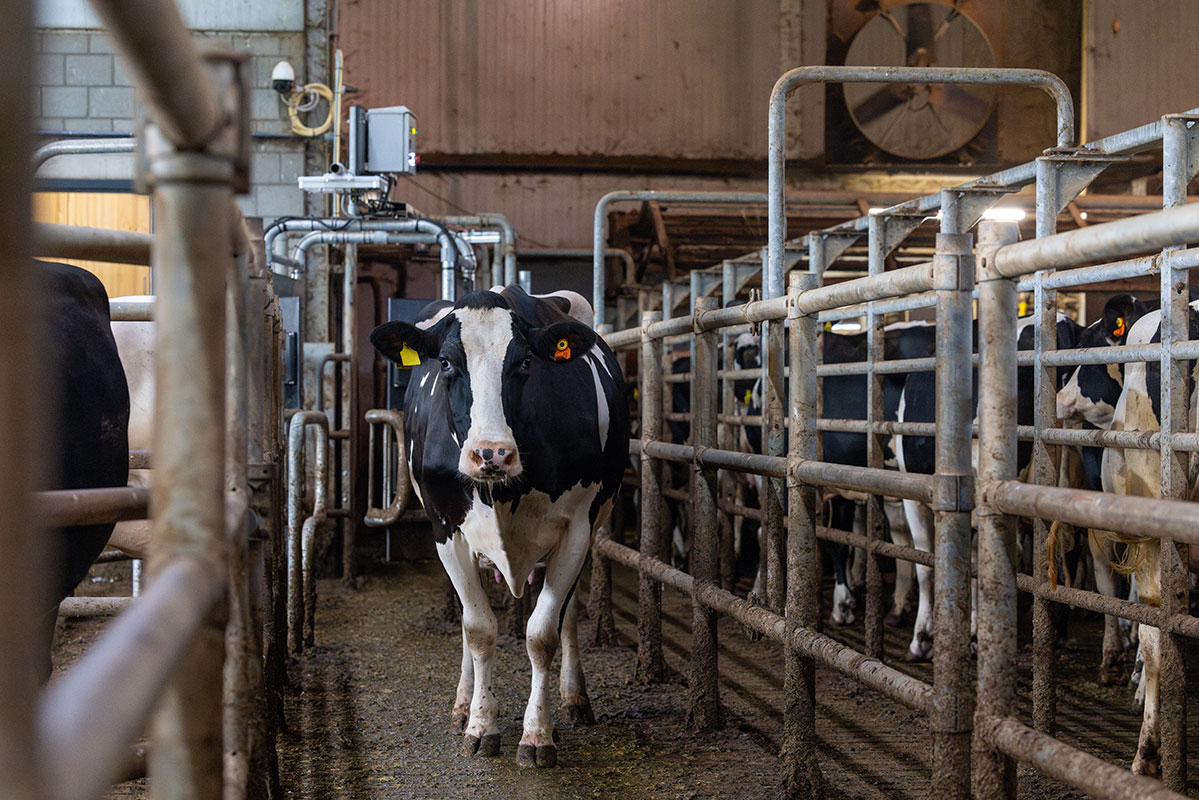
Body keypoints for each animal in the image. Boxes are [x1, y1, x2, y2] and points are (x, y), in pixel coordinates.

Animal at [370, 286, 629, 768]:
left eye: (525, 362)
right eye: (446, 362)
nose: (492, 453)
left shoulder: (577, 530)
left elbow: (542, 634)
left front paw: (537, 735)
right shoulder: (445, 528)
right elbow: (478, 629)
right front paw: (480, 725)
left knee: (566, 617)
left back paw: (574, 698)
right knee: (471, 623)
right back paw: (463, 703)